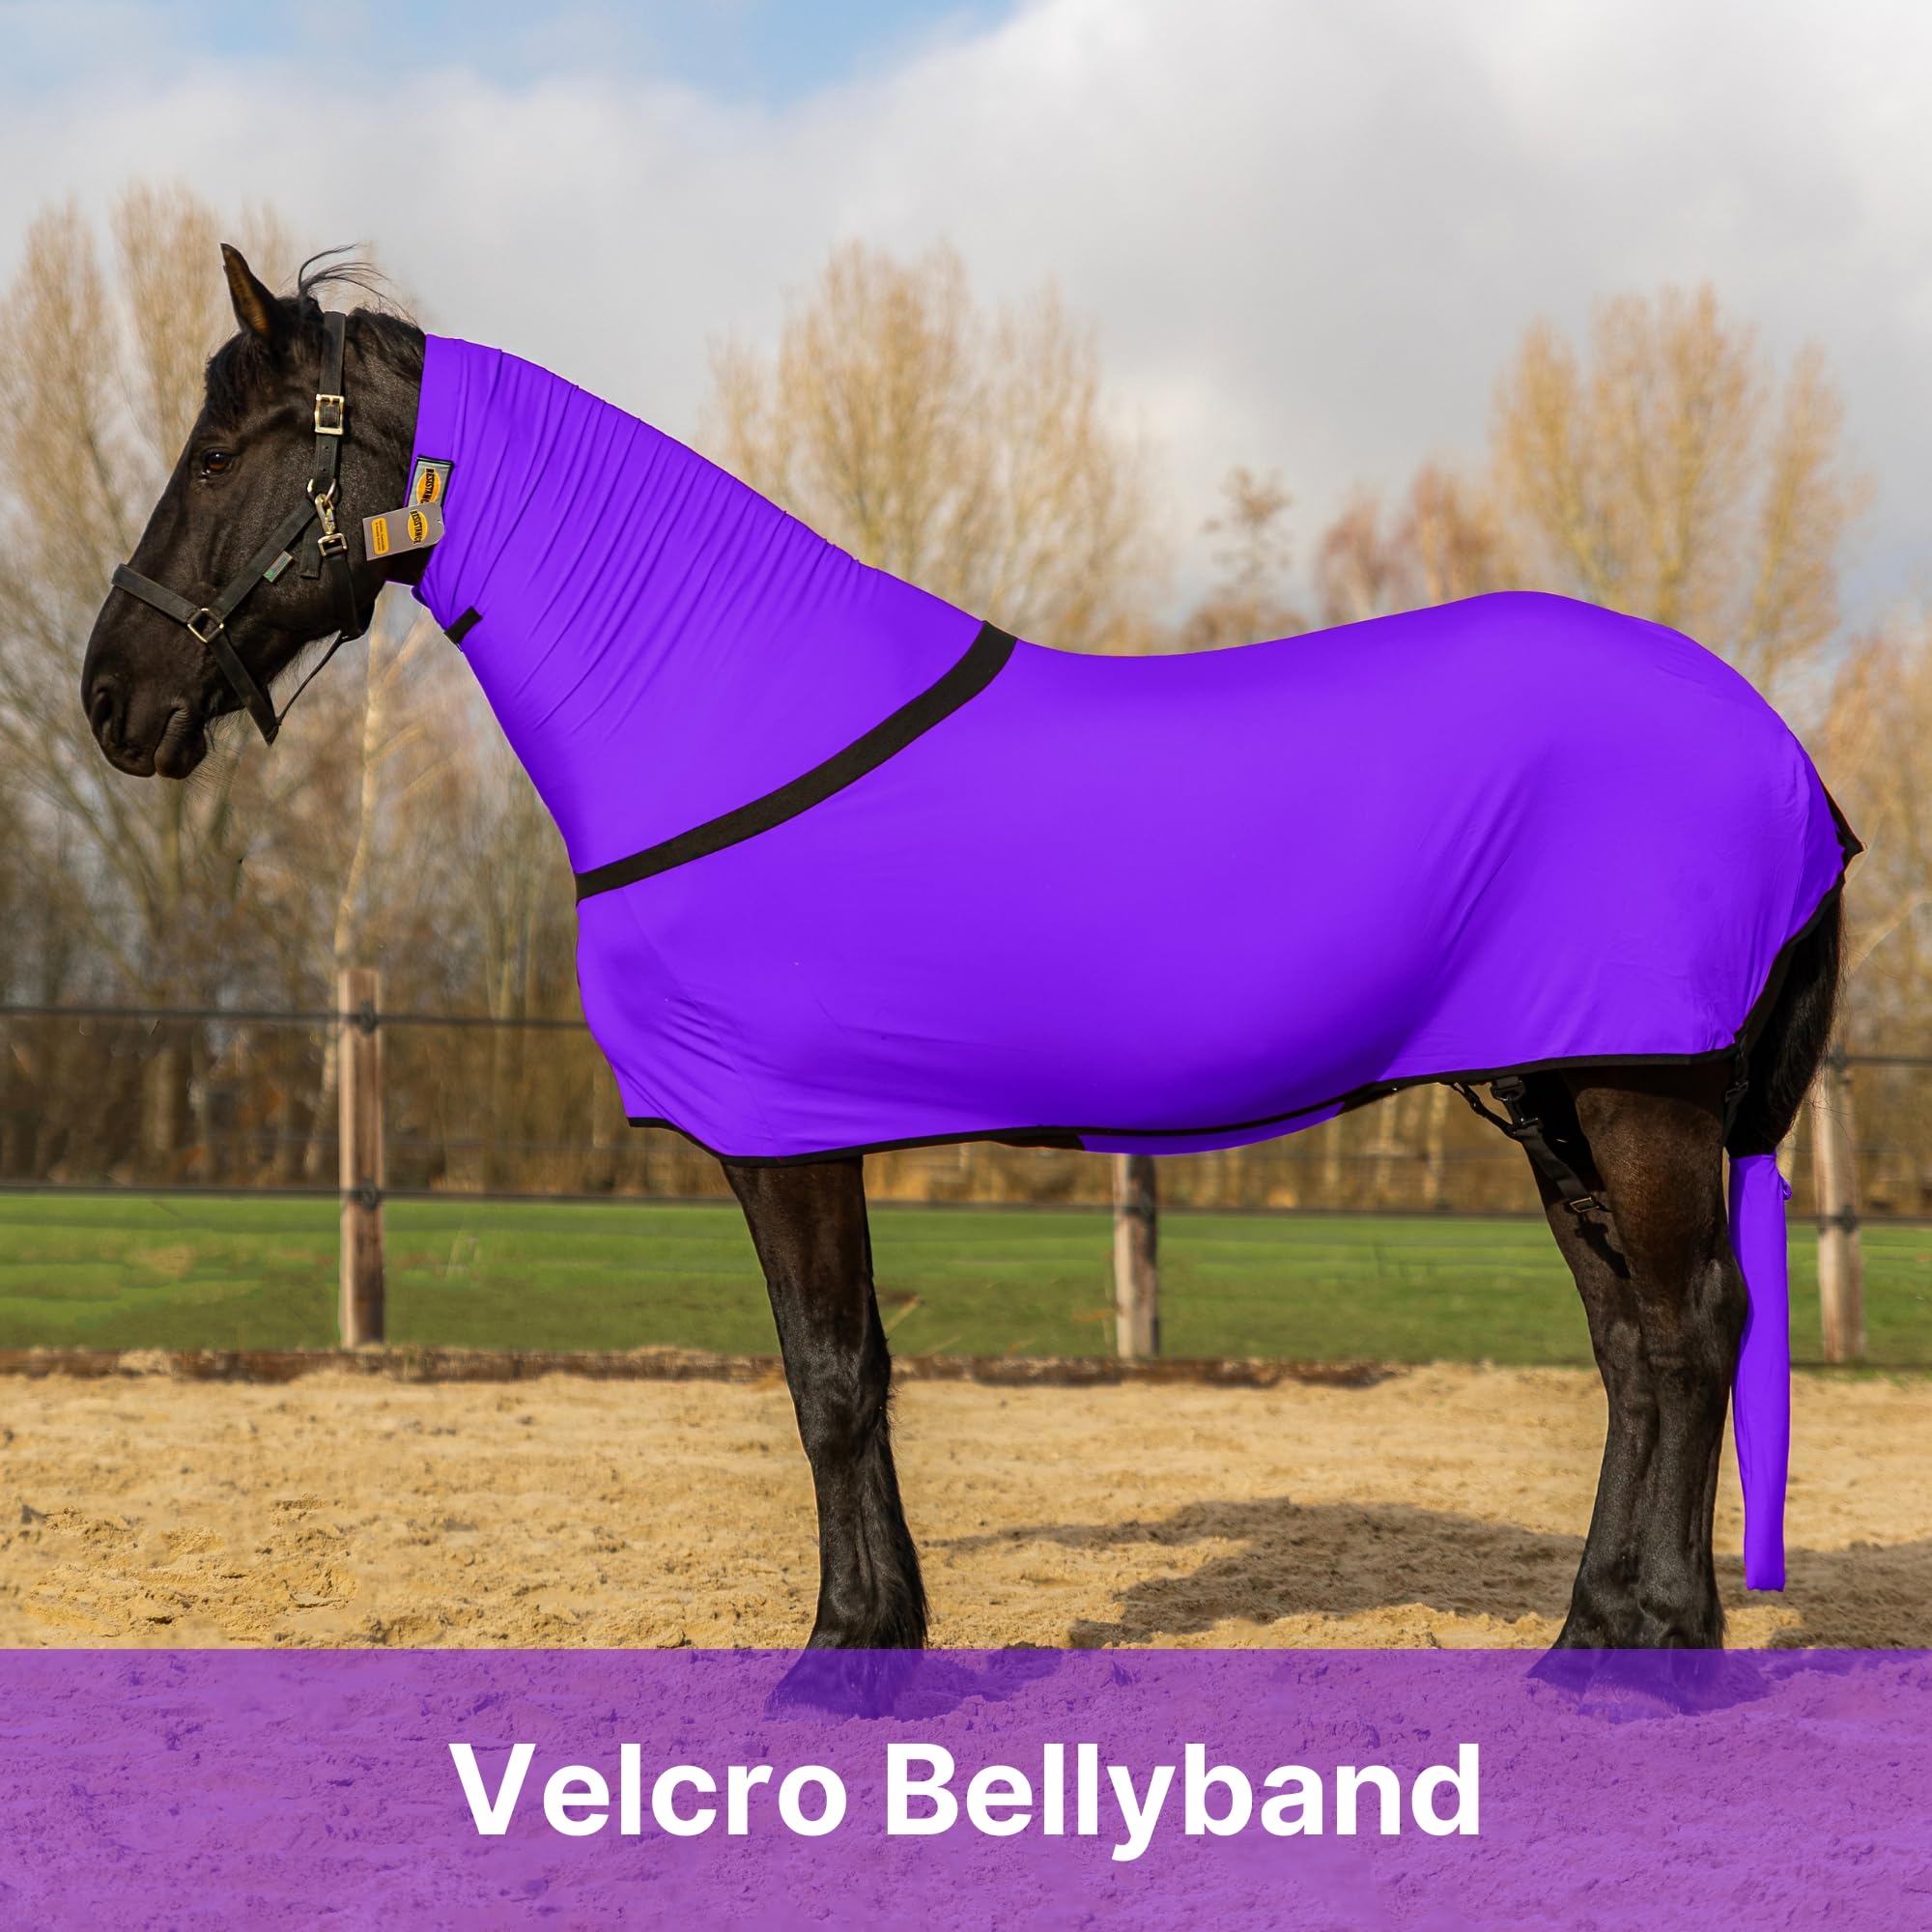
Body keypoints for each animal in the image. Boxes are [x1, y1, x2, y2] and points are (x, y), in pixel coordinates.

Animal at [81, 247, 1851, 1677]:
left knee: (1691, 1327)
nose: (111, 695)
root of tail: (1790, 762)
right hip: (1561, 1095)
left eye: (224, 452)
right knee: (1629, 1348)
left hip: (1641, 1095)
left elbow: (831, 1375)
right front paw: (880, 1625)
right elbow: (845, 1370)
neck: (726, 713)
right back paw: (1590, 1632)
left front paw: (852, 1645)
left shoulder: (786, 1131)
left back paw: (1660, 1642)